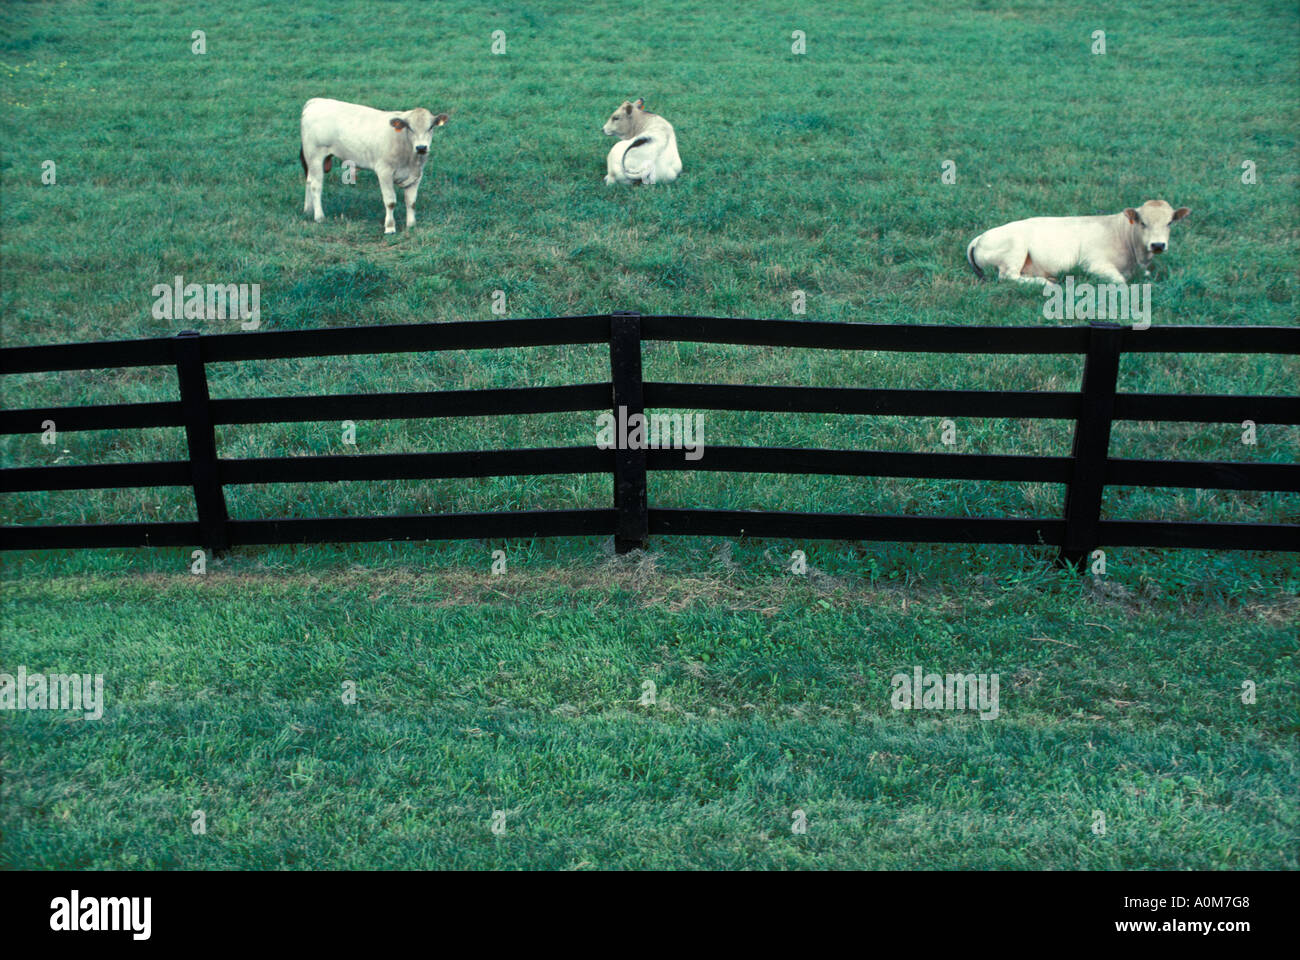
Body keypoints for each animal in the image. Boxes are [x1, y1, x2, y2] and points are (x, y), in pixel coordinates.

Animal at [300, 98, 449, 234]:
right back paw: (319, 216)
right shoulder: (384, 171)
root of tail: (316, 101)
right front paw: (390, 227)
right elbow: (390, 201)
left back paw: (308, 210)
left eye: (431, 127)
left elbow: (411, 201)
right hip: (315, 156)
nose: (421, 147)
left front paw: (411, 225)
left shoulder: (417, 175)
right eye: (409, 128)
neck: (410, 158)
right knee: (316, 185)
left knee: (309, 181)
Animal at [966, 200, 1191, 285]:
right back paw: (1046, 282)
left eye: (1170, 222)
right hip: (1015, 248)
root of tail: (980, 237)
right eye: (1143, 223)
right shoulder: (1093, 264)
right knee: (1008, 276)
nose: (1158, 245)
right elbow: (1120, 282)